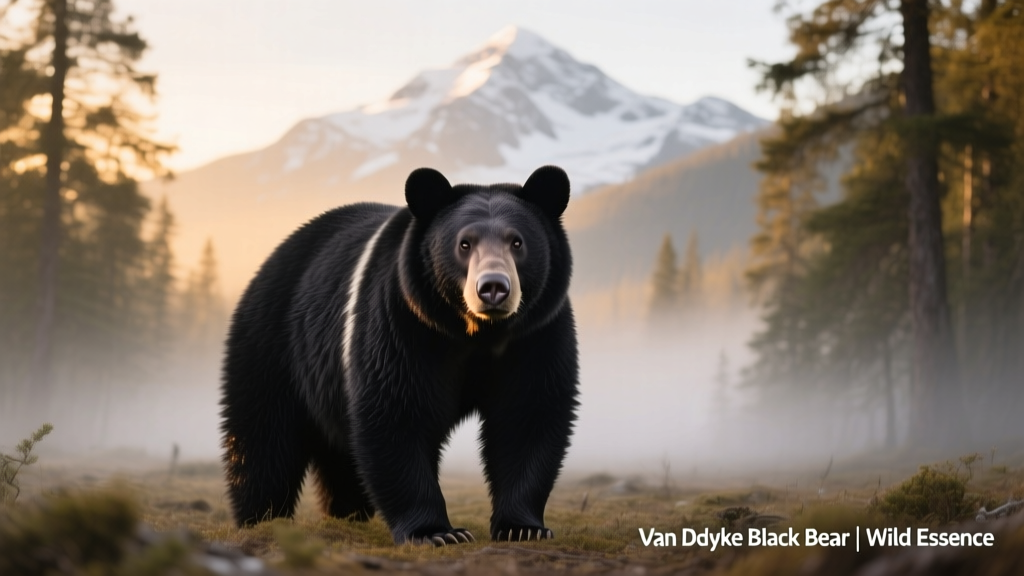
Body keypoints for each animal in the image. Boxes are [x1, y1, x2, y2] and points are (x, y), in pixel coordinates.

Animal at [220, 165, 579, 545]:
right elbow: (397, 411)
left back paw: (347, 512)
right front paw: (438, 532)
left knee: (339, 452)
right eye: (464, 243)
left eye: (517, 242)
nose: (493, 288)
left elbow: (527, 414)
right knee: (263, 434)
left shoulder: (536, 333)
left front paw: (523, 527)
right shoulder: (402, 322)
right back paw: (261, 516)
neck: (476, 333)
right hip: (275, 340)